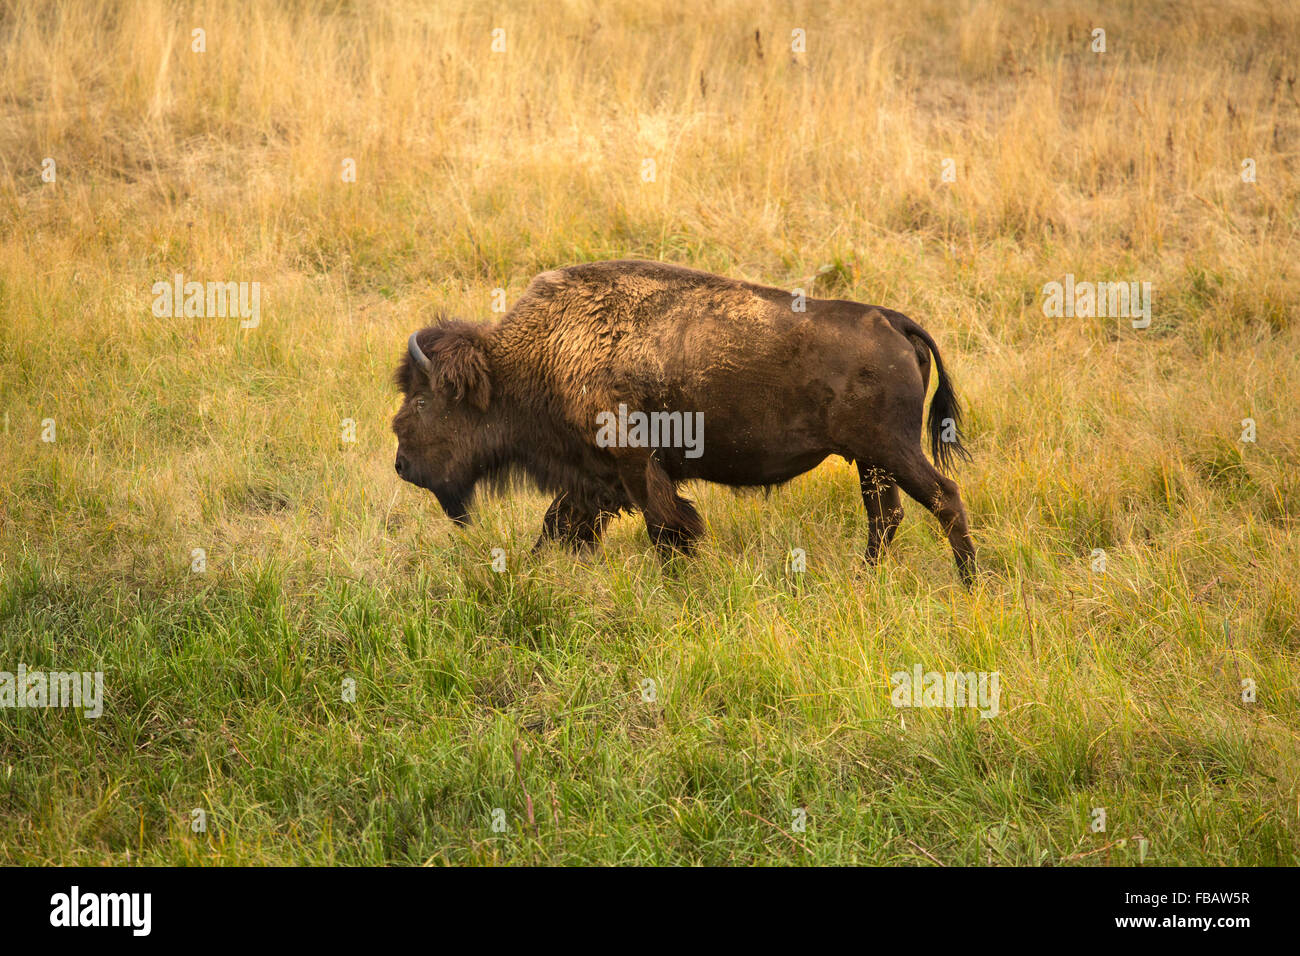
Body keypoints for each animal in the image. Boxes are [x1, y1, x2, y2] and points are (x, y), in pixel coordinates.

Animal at [392, 260, 975, 585]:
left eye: (422, 402)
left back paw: (971, 584)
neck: (537, 353)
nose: (401, 464)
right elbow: (561, 523)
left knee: (944, 497)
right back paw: (864, 580)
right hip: (870, 461)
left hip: (893, 450)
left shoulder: (631, 465)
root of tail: (894, 320)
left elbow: (666, 525)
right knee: (886, 516)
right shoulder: (595, 478)